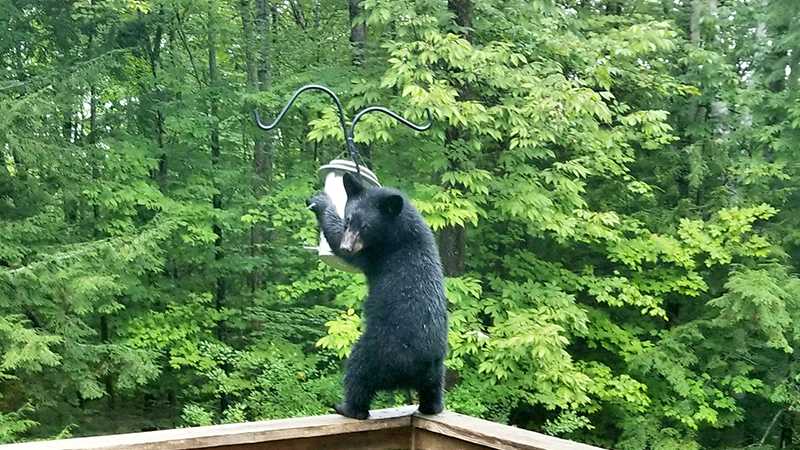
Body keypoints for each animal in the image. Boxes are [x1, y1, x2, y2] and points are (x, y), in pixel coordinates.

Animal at [307, 172, 449, 420]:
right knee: (433, 390)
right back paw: (431, 407)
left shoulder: (375, 252)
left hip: (375, 352)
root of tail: (413, 370)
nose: (346, 247)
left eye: (365, 226)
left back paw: (347, 408)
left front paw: (321, 202)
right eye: (349, 221)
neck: (402, 230)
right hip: (437, 370)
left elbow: (339, 241)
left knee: (358, 375)